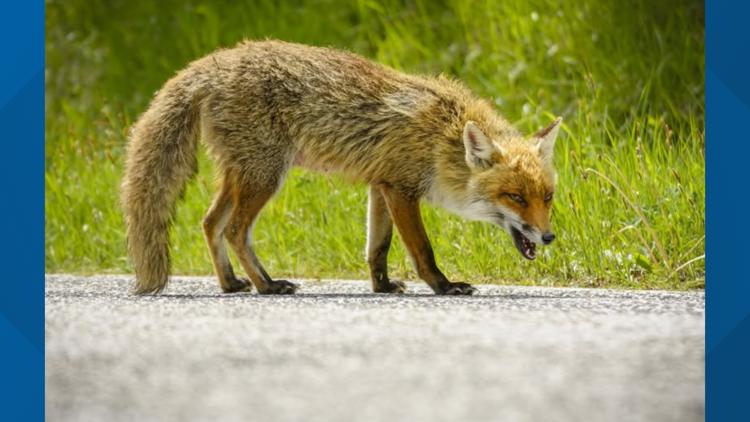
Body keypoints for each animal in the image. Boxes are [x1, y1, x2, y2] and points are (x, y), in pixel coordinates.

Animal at [121, 40, 561, 296]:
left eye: (547, 197)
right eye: (515, 197)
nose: (548, 237)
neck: (442, 137)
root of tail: (216, 62)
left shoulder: (381, 186)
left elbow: (377, 248)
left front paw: (381, 287)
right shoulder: (402, 189)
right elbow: (422, 248)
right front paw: (443, 285)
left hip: (243, 174)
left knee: (210, 223)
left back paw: (230, 284)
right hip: (265, 176)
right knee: (234, 230)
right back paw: (266, 285)